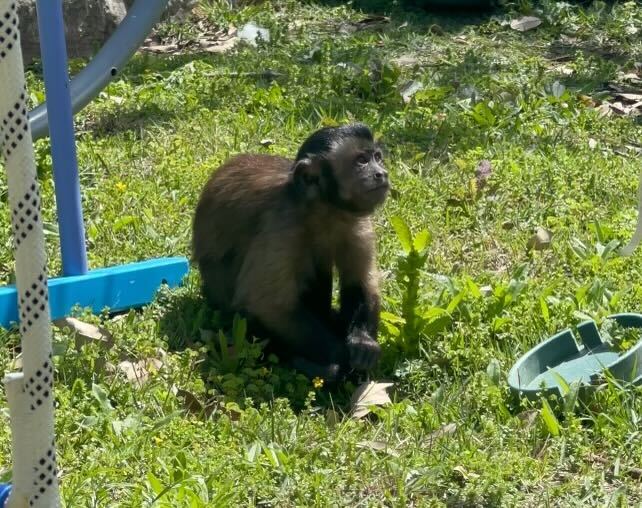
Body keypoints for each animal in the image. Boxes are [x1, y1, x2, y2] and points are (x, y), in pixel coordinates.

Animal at [191, 124, 389, 382]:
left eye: (378, 158)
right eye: (362, 161)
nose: (382, 173)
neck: (324, 210)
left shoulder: (355, 220)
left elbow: (361, 283)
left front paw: (362, 343)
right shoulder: (283, 224)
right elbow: (266, 303)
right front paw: (342, 358)